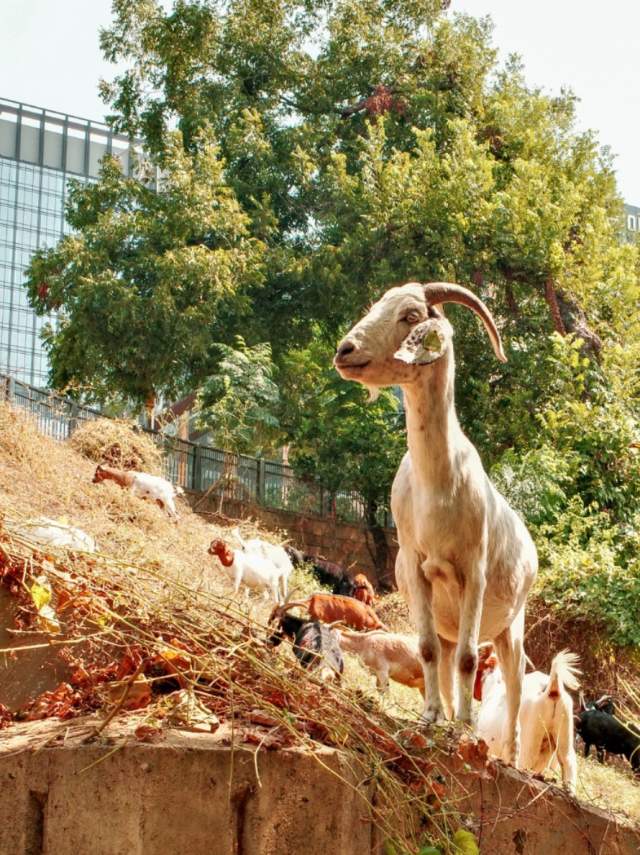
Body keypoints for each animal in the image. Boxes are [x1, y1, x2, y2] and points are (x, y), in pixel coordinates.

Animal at [335, 282, 537, 765]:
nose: (345, 350)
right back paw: (445, 712)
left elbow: (469, 659)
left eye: (410, 315)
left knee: (514, 686)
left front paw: (465, 727)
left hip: (513, 624)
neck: (438, 489)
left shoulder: (473, 573)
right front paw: (431, 719)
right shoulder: (417, 564)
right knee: (444, 660)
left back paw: (510, 756)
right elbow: (427, 649)